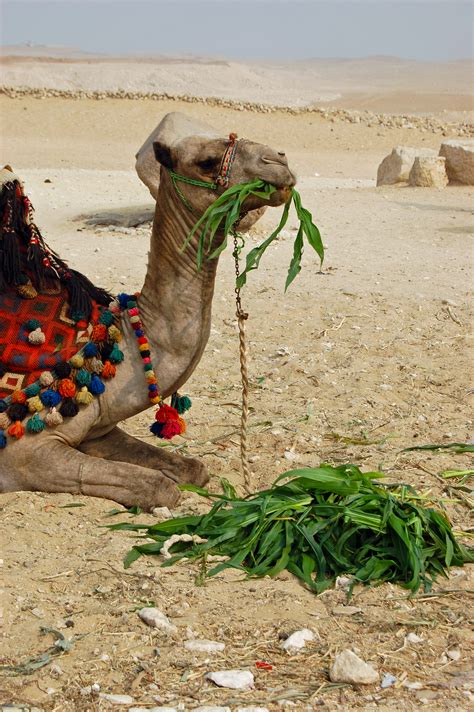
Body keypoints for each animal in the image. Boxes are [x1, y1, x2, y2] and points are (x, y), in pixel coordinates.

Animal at [0, 112, 296, 511]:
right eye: (207, 161)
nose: (278, 160)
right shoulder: (26, 450)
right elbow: (157, 486)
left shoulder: (99, 428)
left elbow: (192, 469)